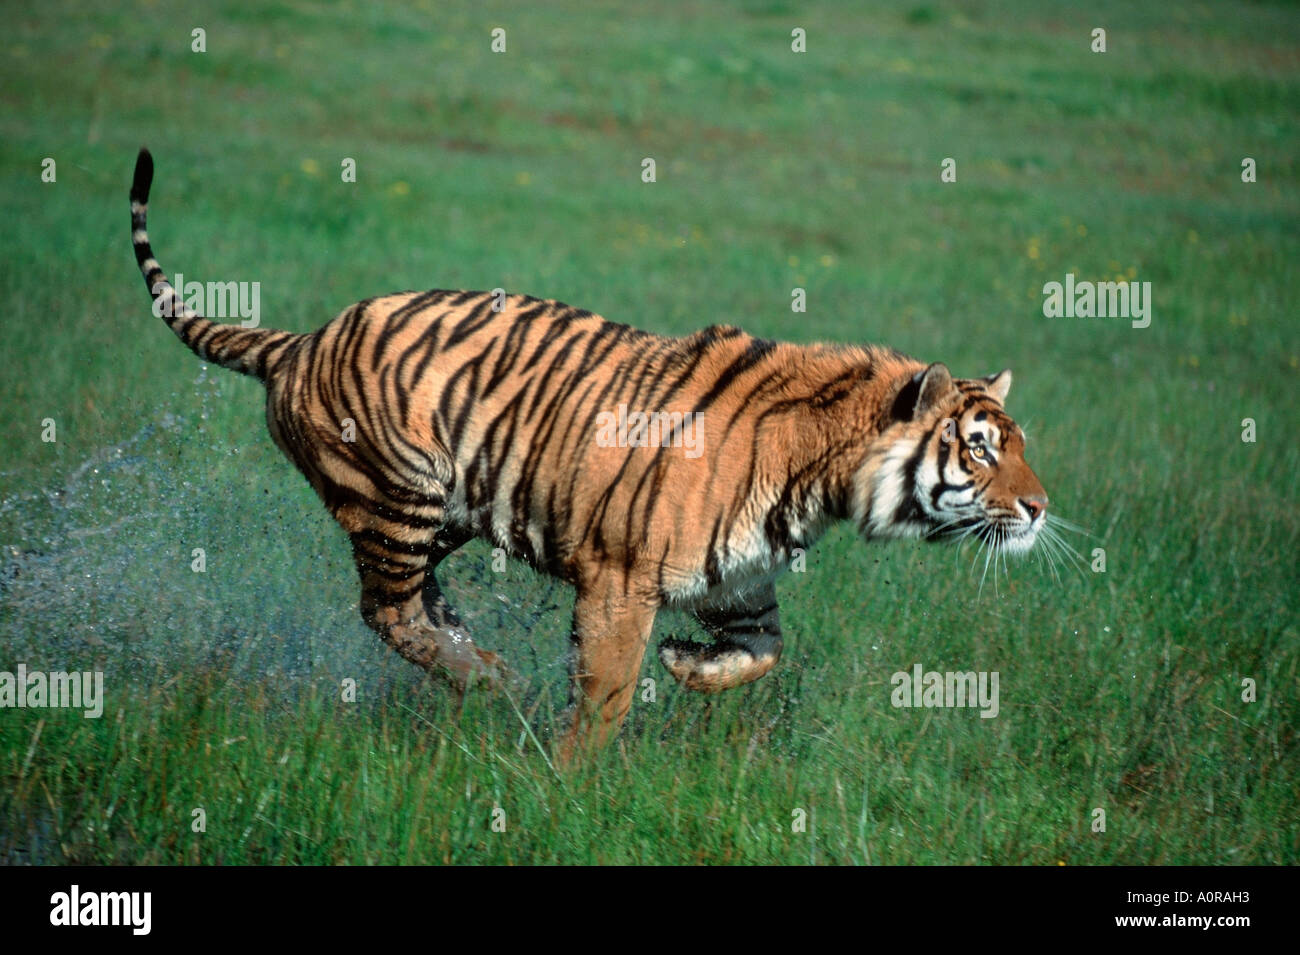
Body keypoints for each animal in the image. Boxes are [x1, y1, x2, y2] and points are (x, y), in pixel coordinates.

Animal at [128, 148, 1049, 760]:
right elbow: (606, 690)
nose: (1041, 508)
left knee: (413, 602)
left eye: (1018, 445)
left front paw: (687, 666)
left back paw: (480, 661)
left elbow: (764, 650)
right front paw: (570, 779)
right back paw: (489, 677)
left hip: (443, 512)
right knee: (387, 609)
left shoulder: (737, 580)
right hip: (397, 497)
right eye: (979, 449)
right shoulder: (620, 576)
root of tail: (300, 339)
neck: (821, 481)